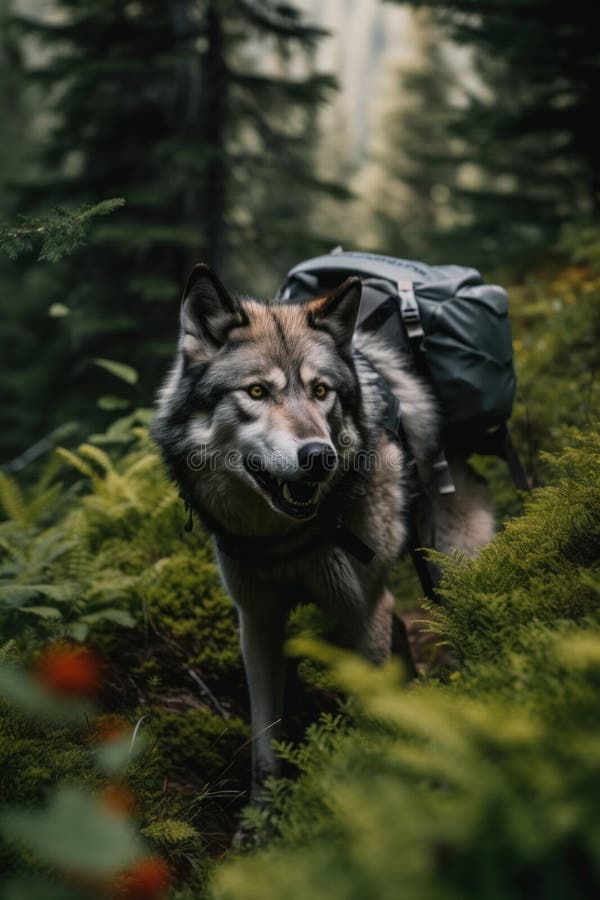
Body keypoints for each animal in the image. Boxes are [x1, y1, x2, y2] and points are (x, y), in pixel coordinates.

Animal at [152, 263, 494, 796]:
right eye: (256, 392)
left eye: (320, 391)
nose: (319, 456)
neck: (284, 537)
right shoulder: (258, 620)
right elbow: (265, 738)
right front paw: (264, 810)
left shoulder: (363, 610)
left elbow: (372, 717)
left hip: (450, 567)